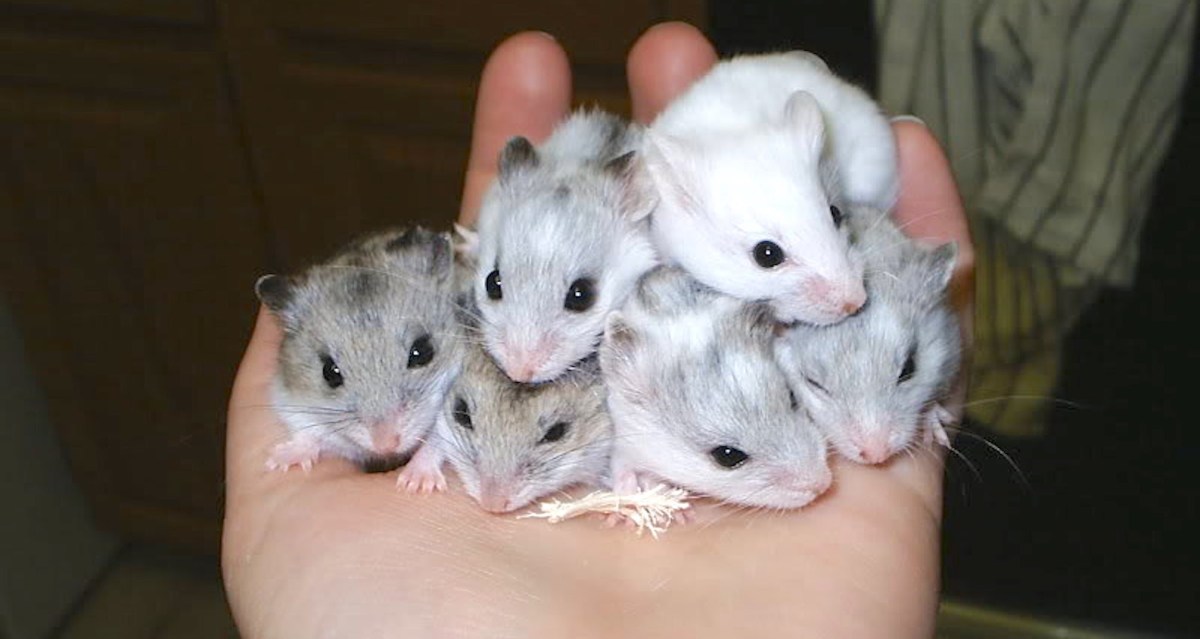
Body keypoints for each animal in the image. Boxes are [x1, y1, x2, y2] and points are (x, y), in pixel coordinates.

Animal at [255, 227, 462, 472]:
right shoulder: (292, 402)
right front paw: (279, 461)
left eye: (422, 352)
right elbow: (307, 433)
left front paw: (414, 478)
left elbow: (434, 446)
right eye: (329, 372)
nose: (386, 445)